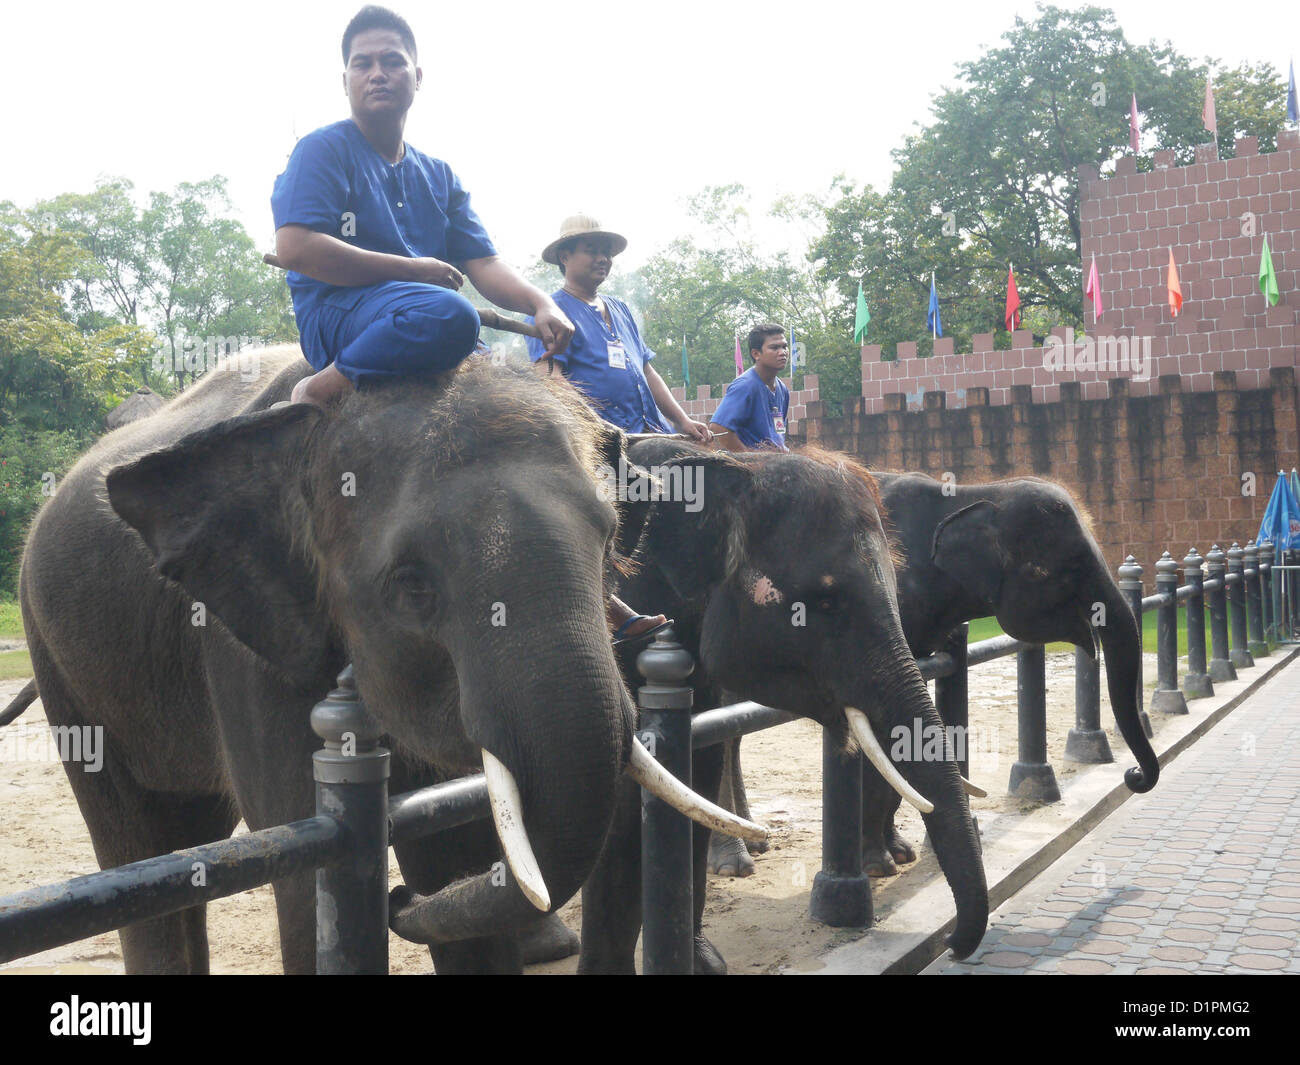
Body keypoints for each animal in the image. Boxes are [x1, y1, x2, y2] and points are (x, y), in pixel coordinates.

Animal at [14, 345, 752, 974]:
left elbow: (453, 841)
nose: (399, 903)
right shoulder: (248, 646)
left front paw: (437, 885)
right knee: (138, 843)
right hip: (59, 660)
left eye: (610, 543)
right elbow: (303, 867)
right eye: (412, 585)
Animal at [713, 469, 1159, 879]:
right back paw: (733, 862)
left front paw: (901, 853)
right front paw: (878, 866)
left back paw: (756, 840)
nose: (1133, 775)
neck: (976, 494)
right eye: (1068, 568)